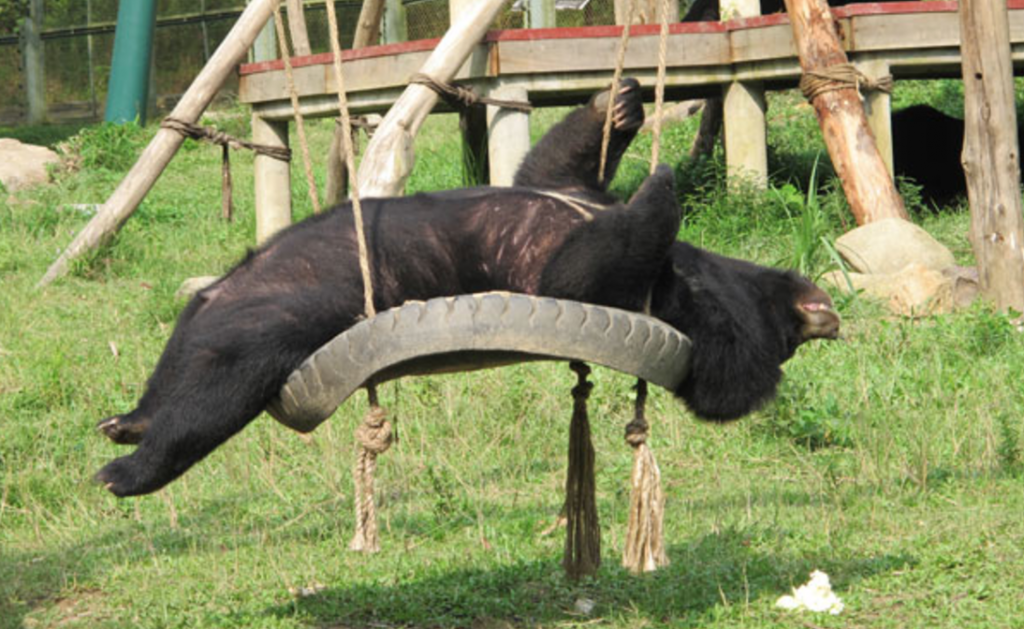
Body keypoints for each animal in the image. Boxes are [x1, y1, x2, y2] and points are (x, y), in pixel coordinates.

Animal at [95, 78, 840, 497]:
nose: (822, 313)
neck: (688, 281)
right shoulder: (576, 199)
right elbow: (544, 165)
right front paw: (620, 102)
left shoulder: (614, 292)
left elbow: (579, 272)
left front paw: (660, 184)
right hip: (213, 306)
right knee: (185, 359)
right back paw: (130, 418)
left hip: (274, 331)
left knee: (215, 396)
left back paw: (128, 466)